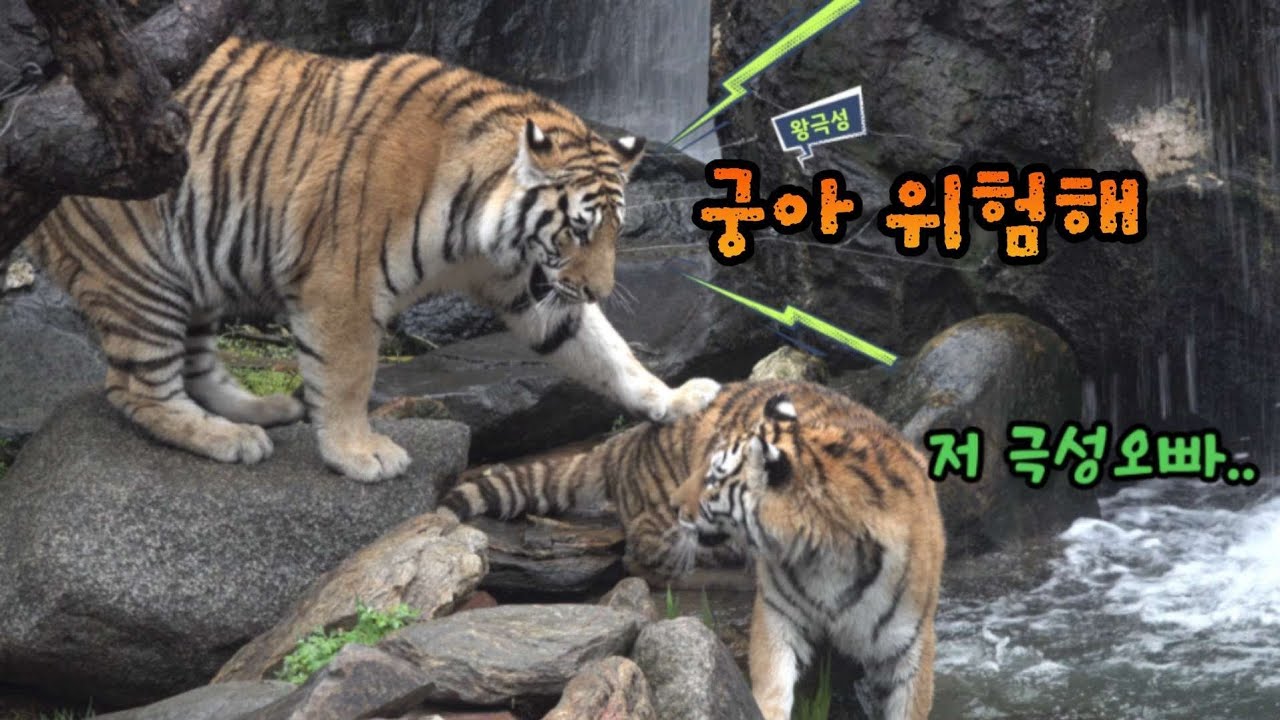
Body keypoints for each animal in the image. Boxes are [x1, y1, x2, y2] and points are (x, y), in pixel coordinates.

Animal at [23, 37, 720, 481]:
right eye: (578, 230)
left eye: (615, 233)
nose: (600, 289)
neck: (484, 227)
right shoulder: (343, 287)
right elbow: (348, 375)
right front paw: (358, 455)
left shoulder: (529, 285)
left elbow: (604, 350)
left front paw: (676, 399)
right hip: (142, 272)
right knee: (136, 388)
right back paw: (229, 438)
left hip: (196, 264)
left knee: (195, 365)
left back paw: (261, 410)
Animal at [672, 388, 945, 720]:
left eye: (712, 479)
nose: (673, 504)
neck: (828, 555)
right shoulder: (777, 615)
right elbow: (773, 687)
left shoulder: (909, 643)